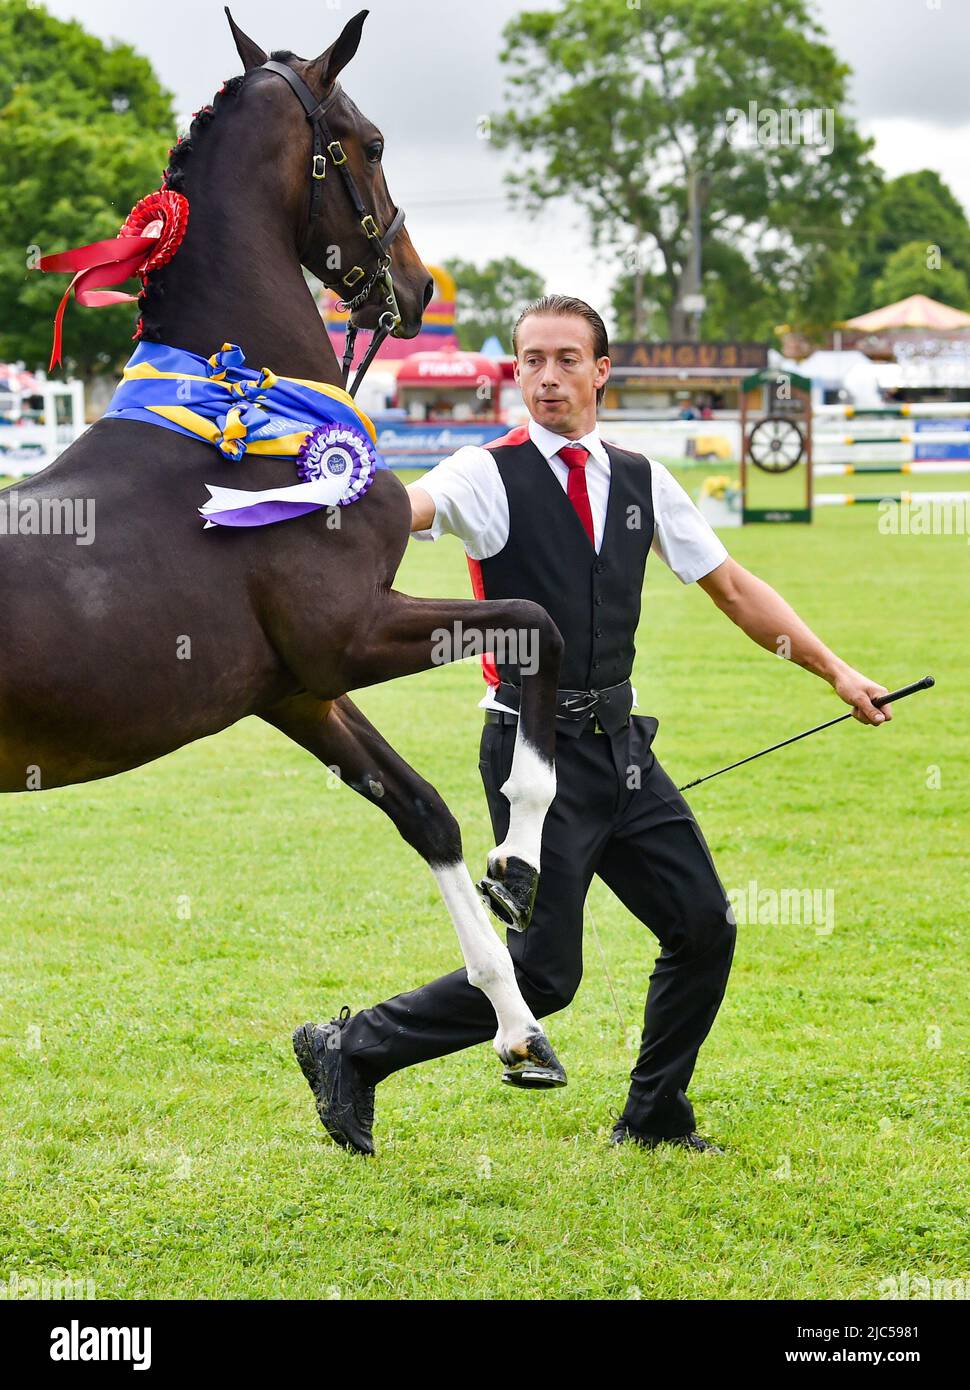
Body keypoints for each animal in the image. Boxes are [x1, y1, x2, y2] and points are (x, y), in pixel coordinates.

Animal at [0, 8, 567, 1103]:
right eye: (372, 143)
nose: (416, 286)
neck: (239, 414)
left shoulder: (297, 690)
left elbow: (425, 813)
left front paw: (517, 1026)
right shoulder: (352, 635)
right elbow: (537, 628)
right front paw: (520, 866)